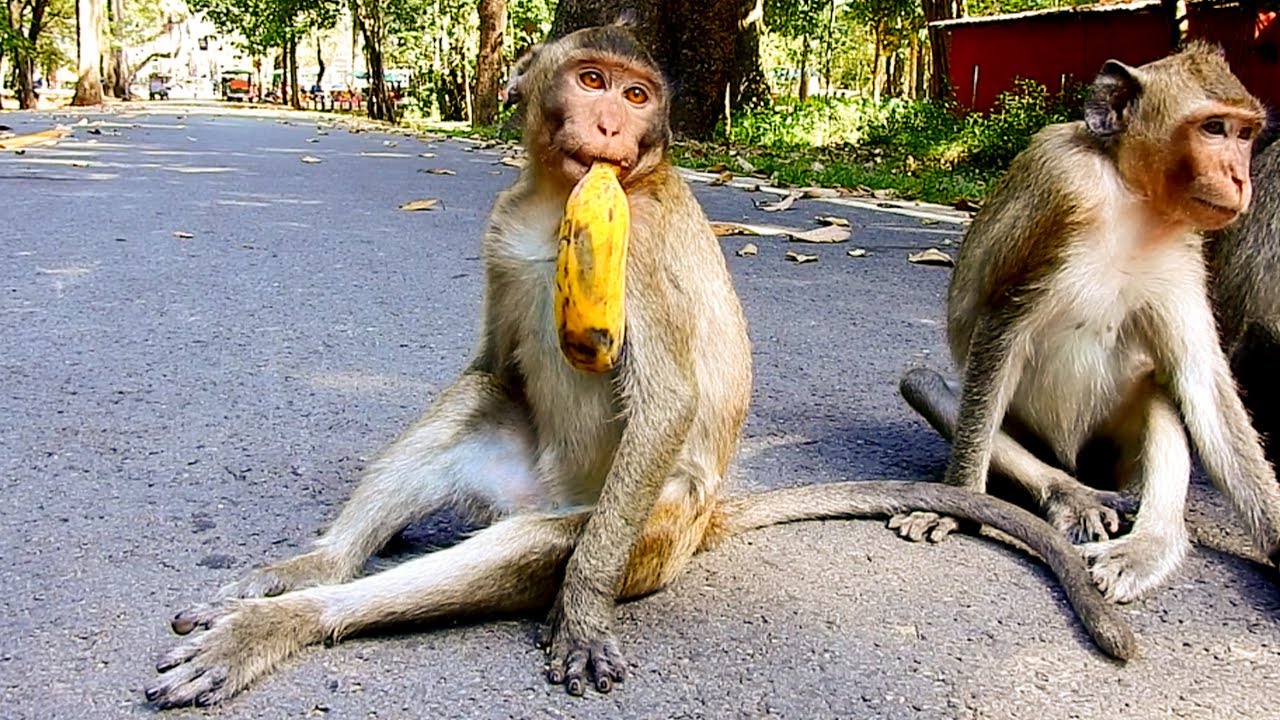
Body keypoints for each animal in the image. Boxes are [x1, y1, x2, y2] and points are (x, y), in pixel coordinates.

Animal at [144, 23, 1133, 710]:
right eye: (590, 81)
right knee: (477, 402)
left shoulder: (642, 241)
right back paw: (310, 569)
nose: (615, 120)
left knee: (532, 545)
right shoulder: (501, 226)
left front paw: (582, 616)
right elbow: (490, 366)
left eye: (635, 90)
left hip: (645, 531)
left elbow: (668, 399)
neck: (557, 202)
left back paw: (287, 621)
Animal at [892, 43, 1280, 605]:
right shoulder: (1062, 189)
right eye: (1213, 128)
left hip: (1116, 459)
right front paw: (957, 502)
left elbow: (1201, 384)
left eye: (1245, 134)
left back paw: (1151, 541)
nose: (1240, 178)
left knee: (1164, 385)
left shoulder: (1187, 246)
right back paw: (1070, 496)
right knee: (926, 385)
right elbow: (1001, 327)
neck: (1132, 195)